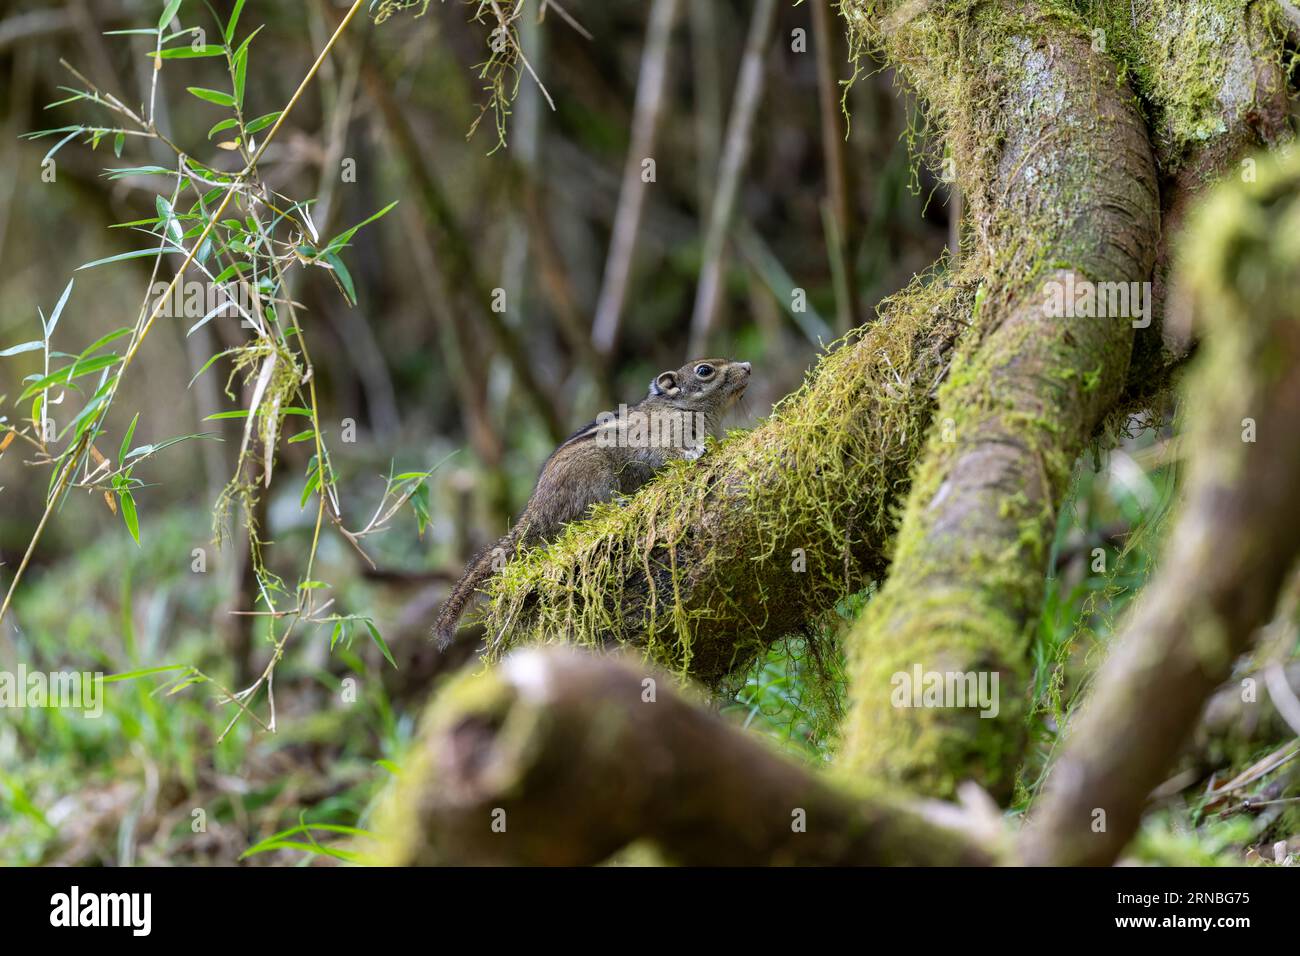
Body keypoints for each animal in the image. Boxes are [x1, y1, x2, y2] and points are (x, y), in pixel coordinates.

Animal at [433, 358, 752, 649]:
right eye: (704, 370)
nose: (747, 366)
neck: (682, 407)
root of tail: (537, 508)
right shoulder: (662, 438)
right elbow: (668, 454)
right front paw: (695, 453)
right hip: (594, 479)